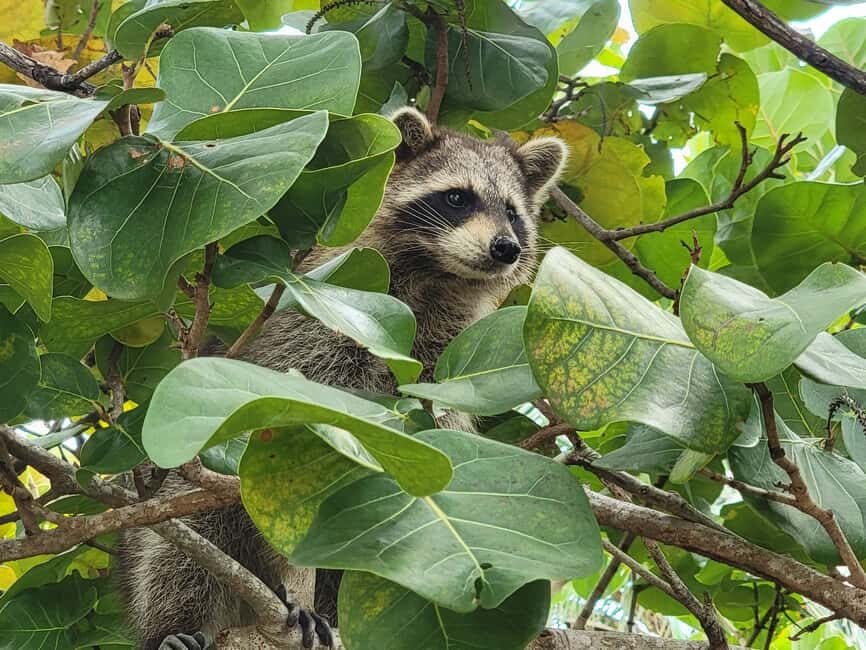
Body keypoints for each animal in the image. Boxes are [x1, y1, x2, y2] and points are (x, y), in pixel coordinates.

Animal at [118, 107, 567, 649]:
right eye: (458, 198)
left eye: (513, 212)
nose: (506, 247)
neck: (434, 277)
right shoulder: (320, 326)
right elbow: (284, 478)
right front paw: (296, 581)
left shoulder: (441, 365)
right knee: (185, 545)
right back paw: (181, 624)